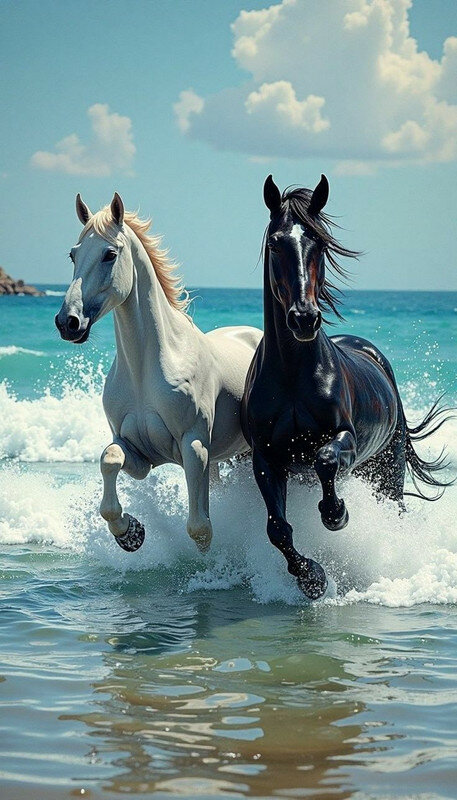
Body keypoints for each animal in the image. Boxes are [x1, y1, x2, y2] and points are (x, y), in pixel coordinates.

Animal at [56, 192, 262, 553]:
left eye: (109, 254)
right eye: (73, 254)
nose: (68, 322)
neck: (146, 371)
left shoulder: (195, 449)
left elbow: (200, 528)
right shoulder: (138, 454)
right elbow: (109, 460)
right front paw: (130, 532)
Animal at [241, 174, 451, 600]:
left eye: (318, 243)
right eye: (276, 243)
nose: (304, 319)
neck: (293, 374)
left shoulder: (345, 438)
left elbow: (324, 460)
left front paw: (336, 514)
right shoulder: (266, 457)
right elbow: (277, 528)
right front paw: (312, 578)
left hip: (387, 470)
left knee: (394, 509)